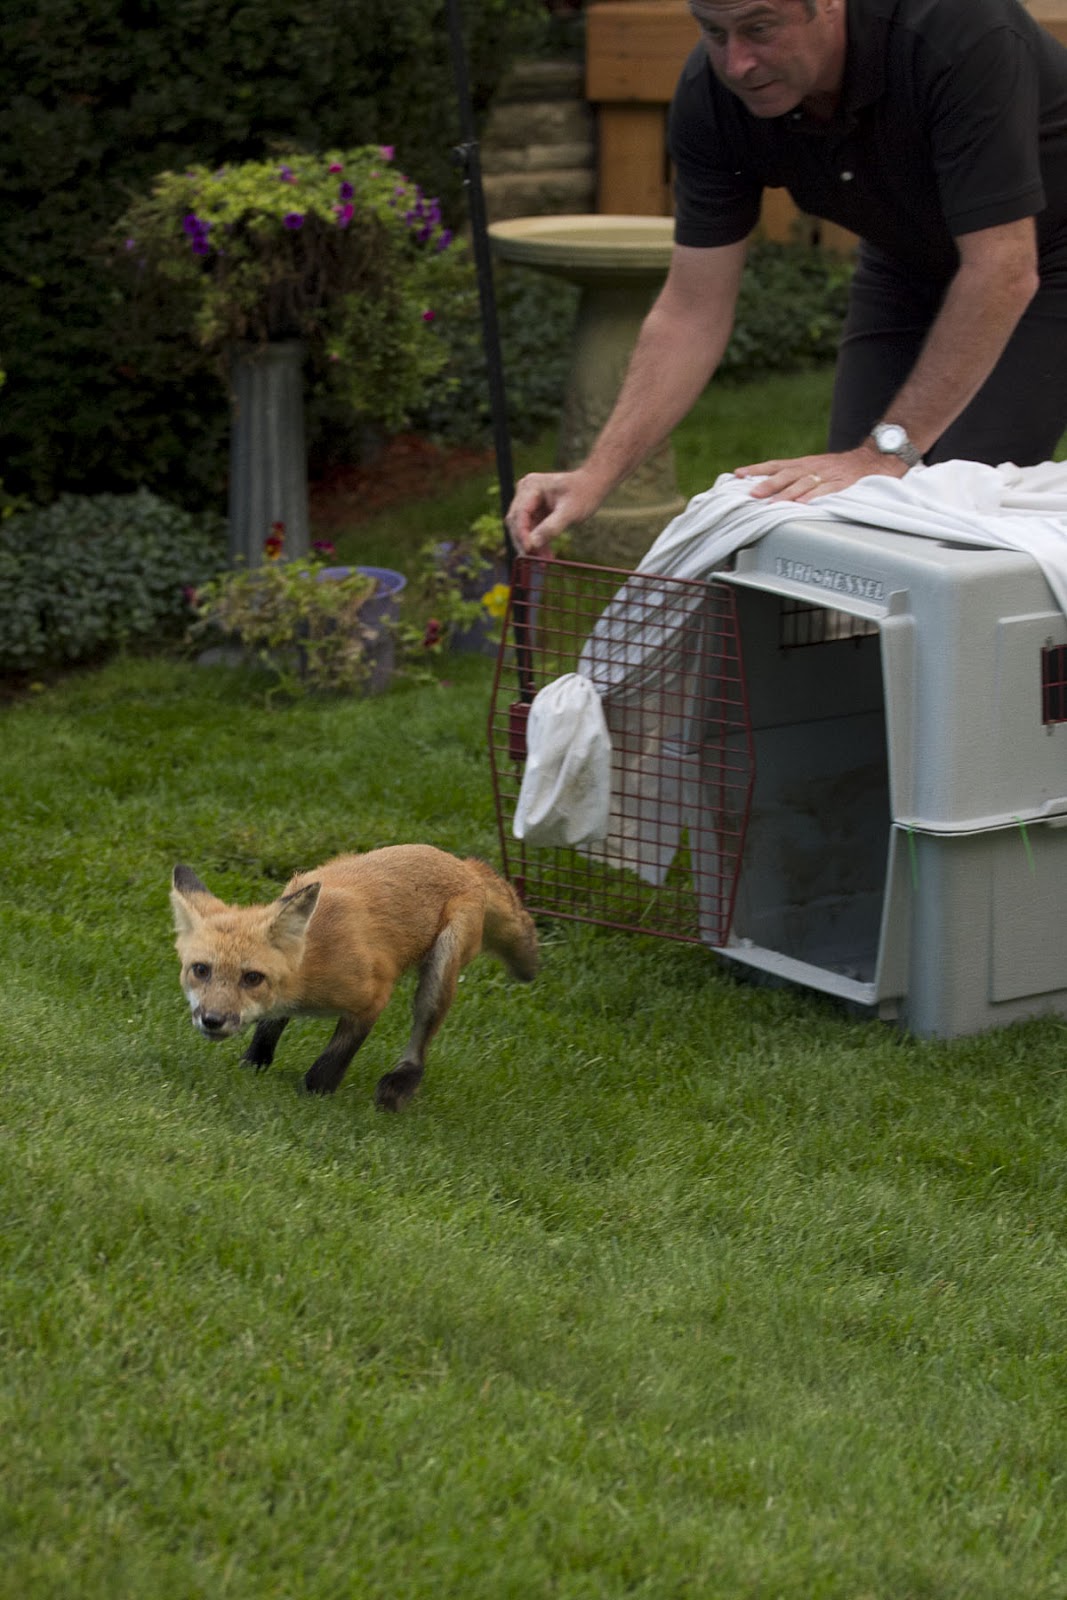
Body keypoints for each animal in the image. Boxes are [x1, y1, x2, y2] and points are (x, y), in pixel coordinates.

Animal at [170, 844, 539, 1110]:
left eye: (252, 978)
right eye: (201, 970)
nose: (212, 1020)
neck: (311, 960)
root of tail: (465, 865)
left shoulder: (372, 997)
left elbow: (330, 1063)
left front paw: (316, 1097)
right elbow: (269, 1027)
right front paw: (254, 1064)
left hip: (441, 969)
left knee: (420, 1041)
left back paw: (400, 1086)